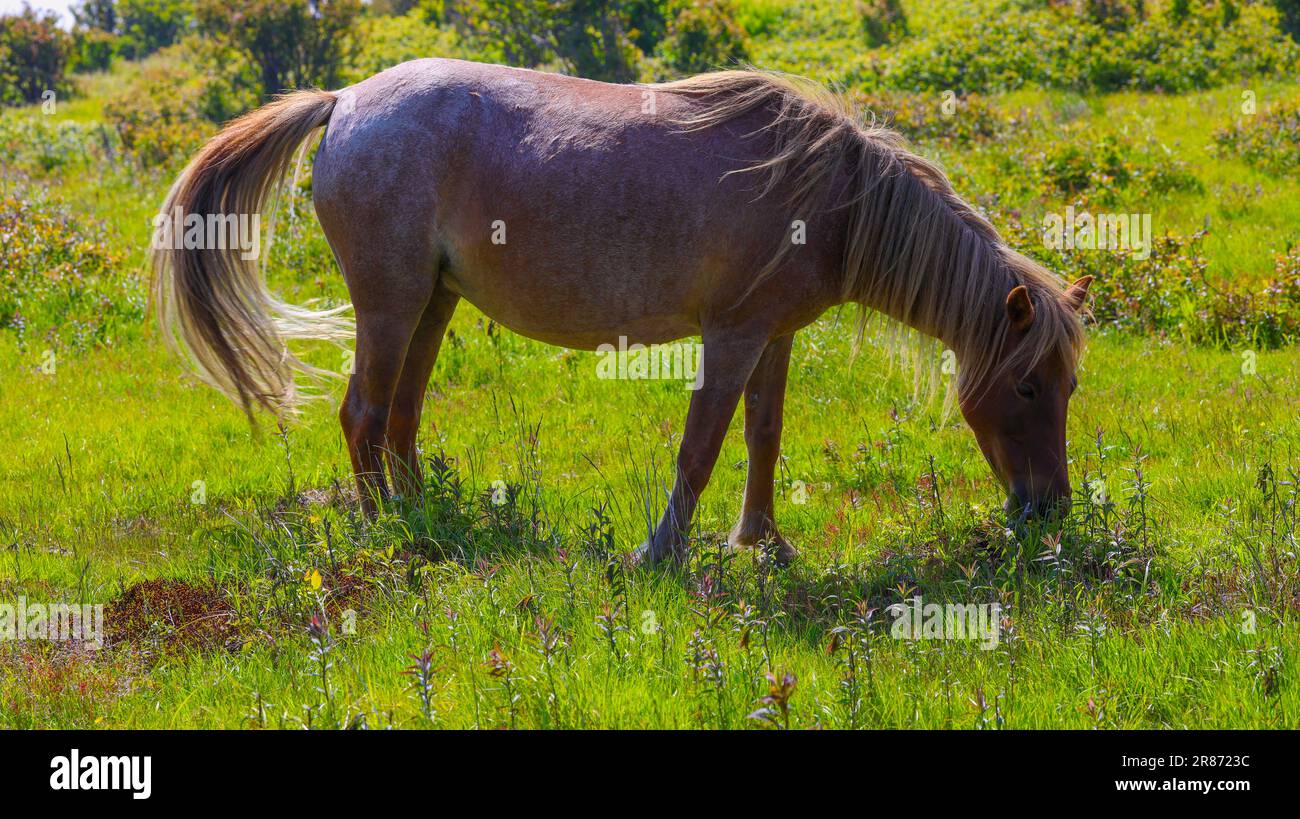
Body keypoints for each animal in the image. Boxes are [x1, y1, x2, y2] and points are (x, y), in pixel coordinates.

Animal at [152, 58, 1092, 565]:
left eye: (1067, 388)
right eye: (1030, 388)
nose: (1051, 509)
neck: (829, 198)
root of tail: (344, 101)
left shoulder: (775, 337)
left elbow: (763, 436)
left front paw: (761, 541)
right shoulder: (732, 335)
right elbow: (700, 447)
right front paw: (662, 553)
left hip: (432, 304)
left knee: (401, 416)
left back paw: (423, 516)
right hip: (390, 304)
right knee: (364, 412)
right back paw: (388, 530)